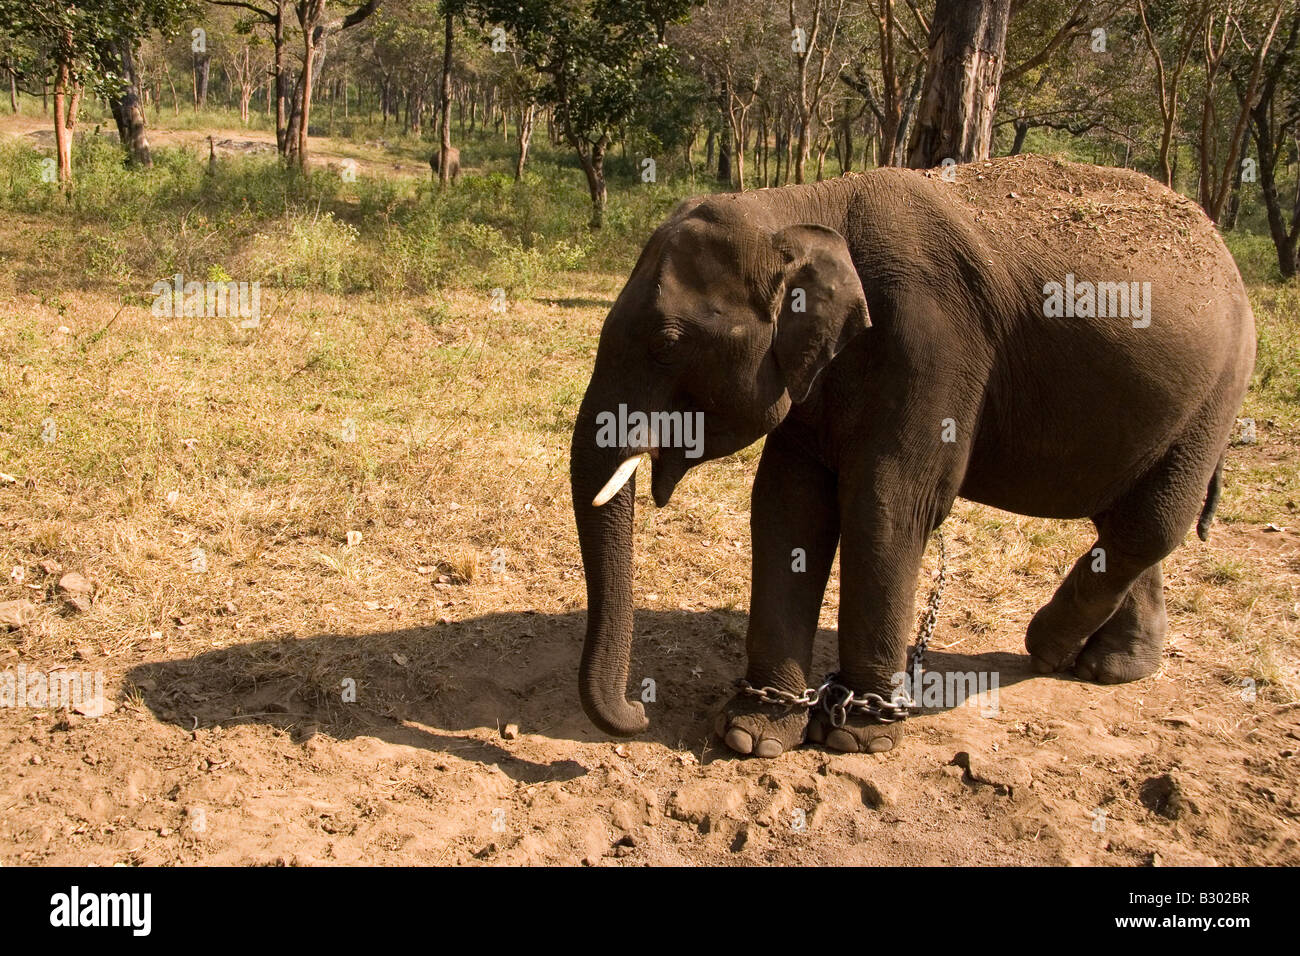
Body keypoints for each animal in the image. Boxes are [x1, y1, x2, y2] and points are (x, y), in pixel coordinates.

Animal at [569, 155, 1256, 759]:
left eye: (666, 343)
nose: (639, 711)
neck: (801, 206)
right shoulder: (814, 372)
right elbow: (788, 506)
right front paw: (753, 734)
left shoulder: (933, 341)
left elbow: (888, 507)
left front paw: (855, 737)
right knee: (1126, 517)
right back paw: (1110, 666)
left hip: (1219, 392)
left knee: (1150, 521)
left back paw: (1050, 650)